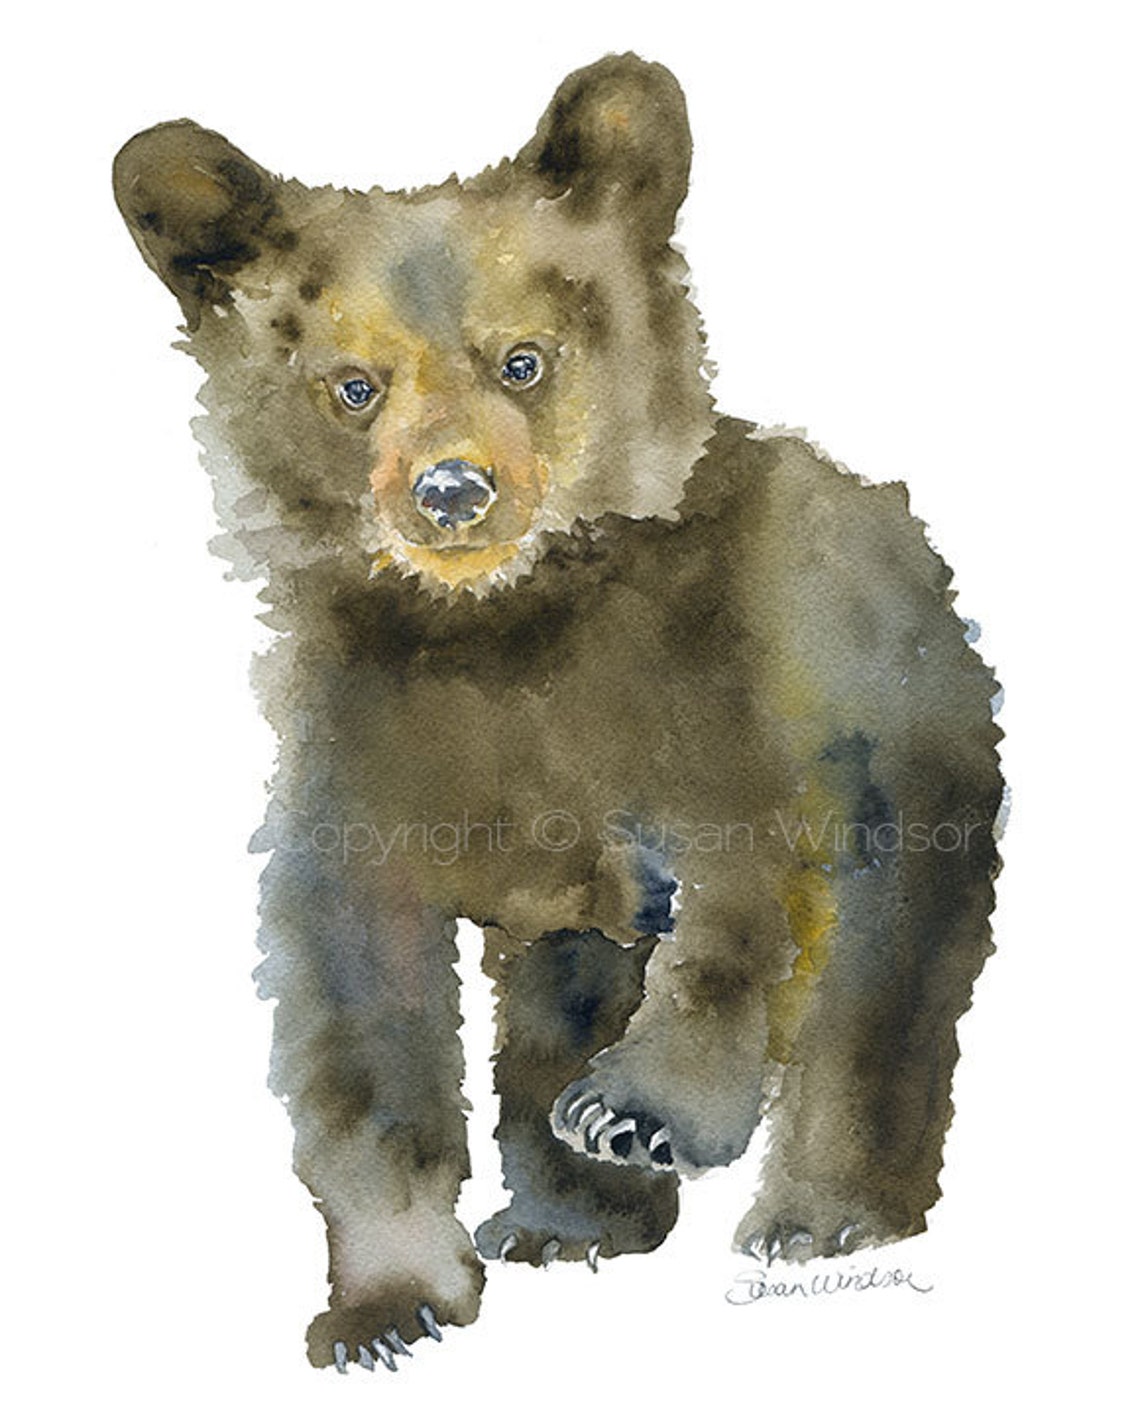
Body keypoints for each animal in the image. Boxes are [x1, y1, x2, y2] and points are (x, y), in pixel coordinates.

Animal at [113, 53, 1003, 1372]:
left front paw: (642, 1111)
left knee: (883, 984)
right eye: (354, 387)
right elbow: (360, 1030)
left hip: (919, 769)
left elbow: (740, 912)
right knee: (551, 1011)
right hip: (571, 929)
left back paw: (819, 1214)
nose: (451, 489)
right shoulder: (364, 779)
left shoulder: (716, 716)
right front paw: (386, 1306)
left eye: (522, 361)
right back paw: (570, 1220)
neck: (503, 633)